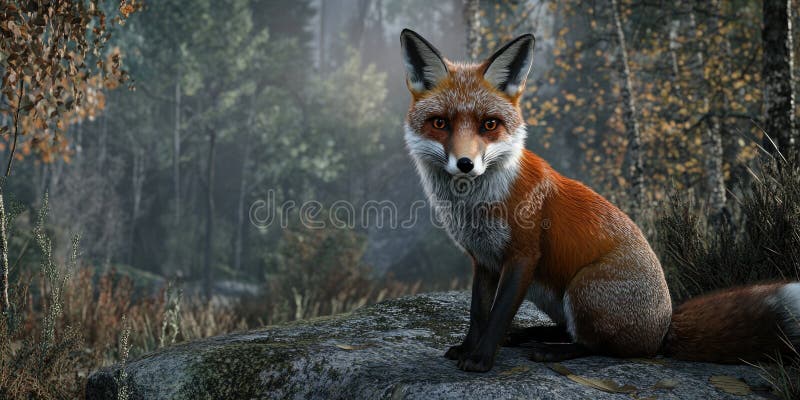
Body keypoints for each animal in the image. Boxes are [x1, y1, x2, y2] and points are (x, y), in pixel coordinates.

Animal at [400, 28, 800, 372]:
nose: (465, 164)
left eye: (489, 125)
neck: (475, 206)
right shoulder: (483, 260)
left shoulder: (523, 255)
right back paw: (531, 335)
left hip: (582, 288)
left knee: (600, 346)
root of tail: (665, 327)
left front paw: (481, 360)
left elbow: (497, 315)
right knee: (572, 331)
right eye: (440, 123)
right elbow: (478, 313)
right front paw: (468, 349)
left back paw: (551, 349)